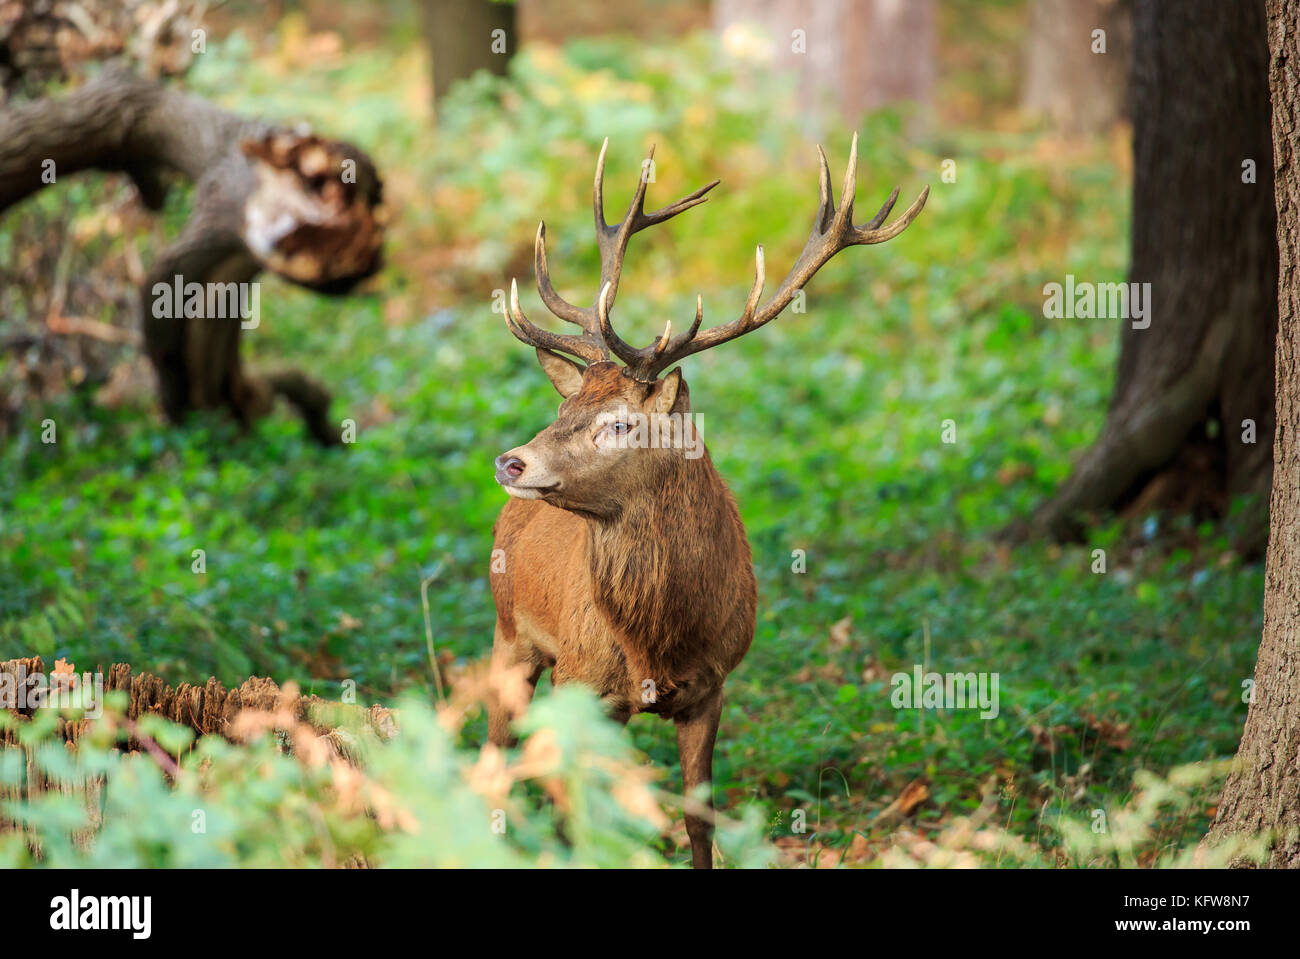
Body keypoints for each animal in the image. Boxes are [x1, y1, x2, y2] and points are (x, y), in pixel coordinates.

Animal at [487, 135, 927, 868]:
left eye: (619, 423)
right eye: (564, 408)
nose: (511, 460)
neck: (659, 640)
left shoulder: (714, 684)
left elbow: (699, 818)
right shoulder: (580, 680)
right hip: (508, 632)